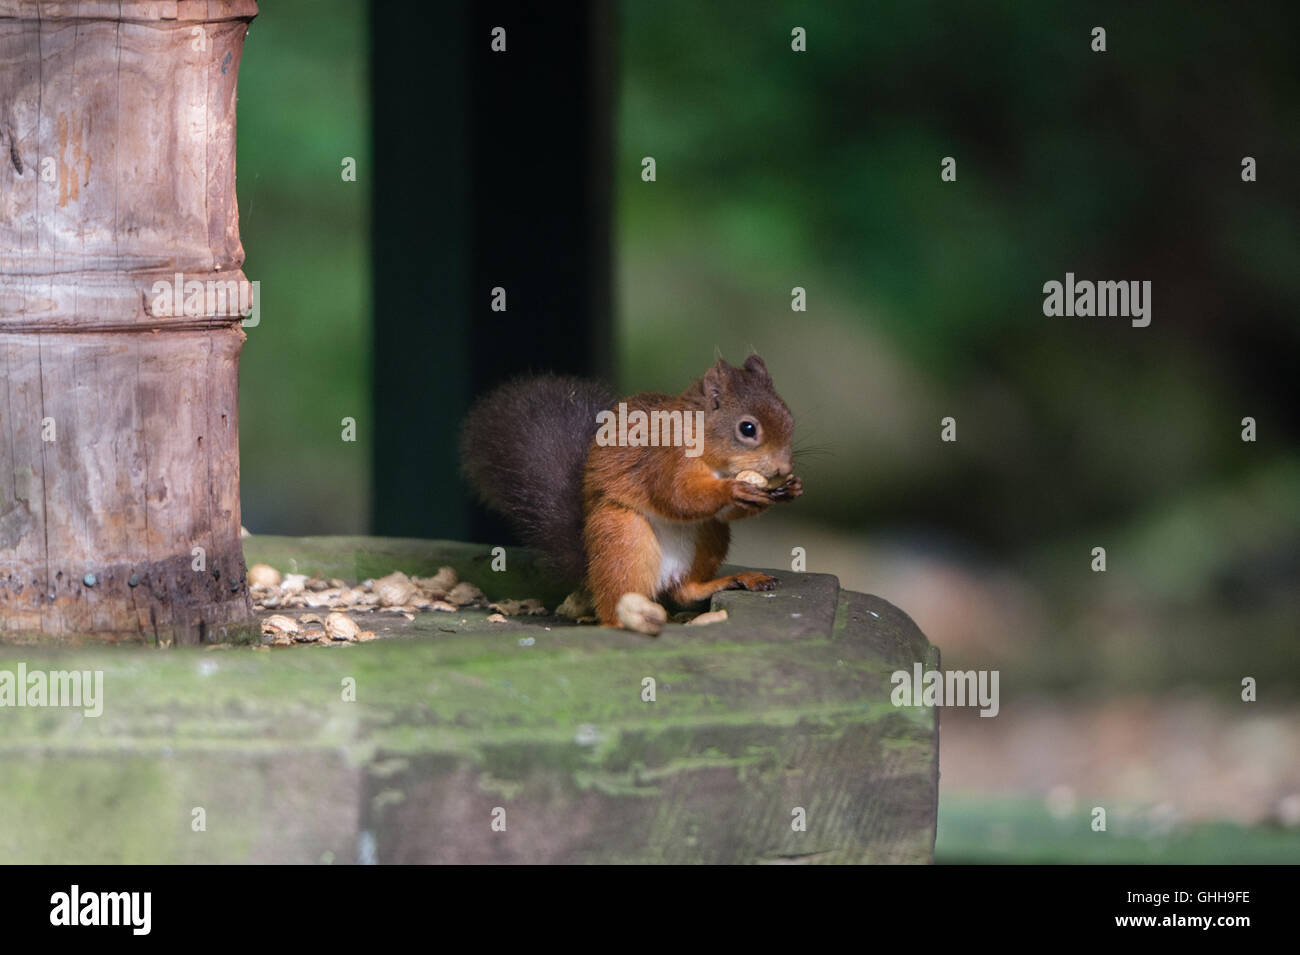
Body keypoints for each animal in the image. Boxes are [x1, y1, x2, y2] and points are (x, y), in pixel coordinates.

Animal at [459, 354, 803, 632]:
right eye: (748, 429)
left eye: (790, 418)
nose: (783, 468)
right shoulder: (664, 458)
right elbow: (677, 496)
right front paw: (734, 489)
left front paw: (789, 488)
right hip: (623, 538)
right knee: (617, 605)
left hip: (710, 534)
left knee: (685, 589)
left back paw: (732, 580)